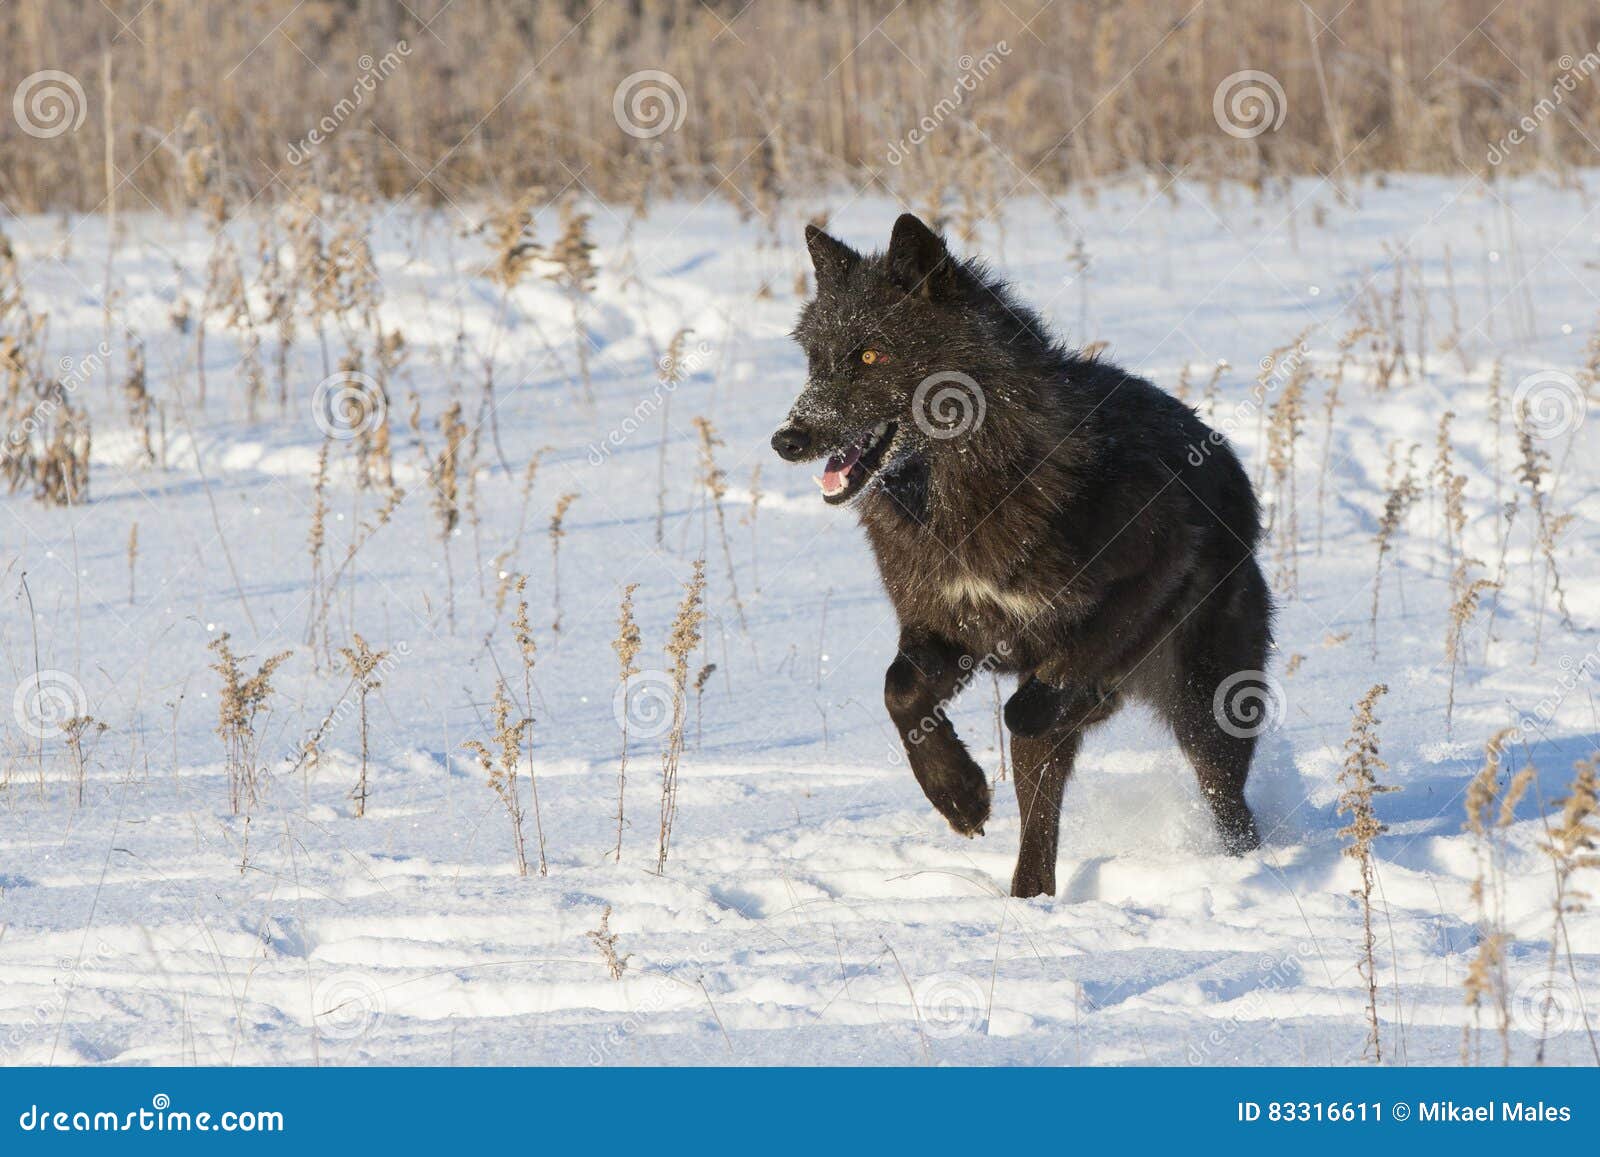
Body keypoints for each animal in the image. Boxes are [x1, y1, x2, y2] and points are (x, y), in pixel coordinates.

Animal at [771, 213, 1274, 898]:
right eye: (815, 361)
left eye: (870, 356)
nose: (786, 439)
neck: (969, 485)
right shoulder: (945, 626)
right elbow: (900, 692)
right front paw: (959, 796)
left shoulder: (1153, 571)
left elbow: (1035, 700)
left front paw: (1068, 706)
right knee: (1043, 807)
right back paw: (1030, 895)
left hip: (1209, 701)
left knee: (1223, 798)